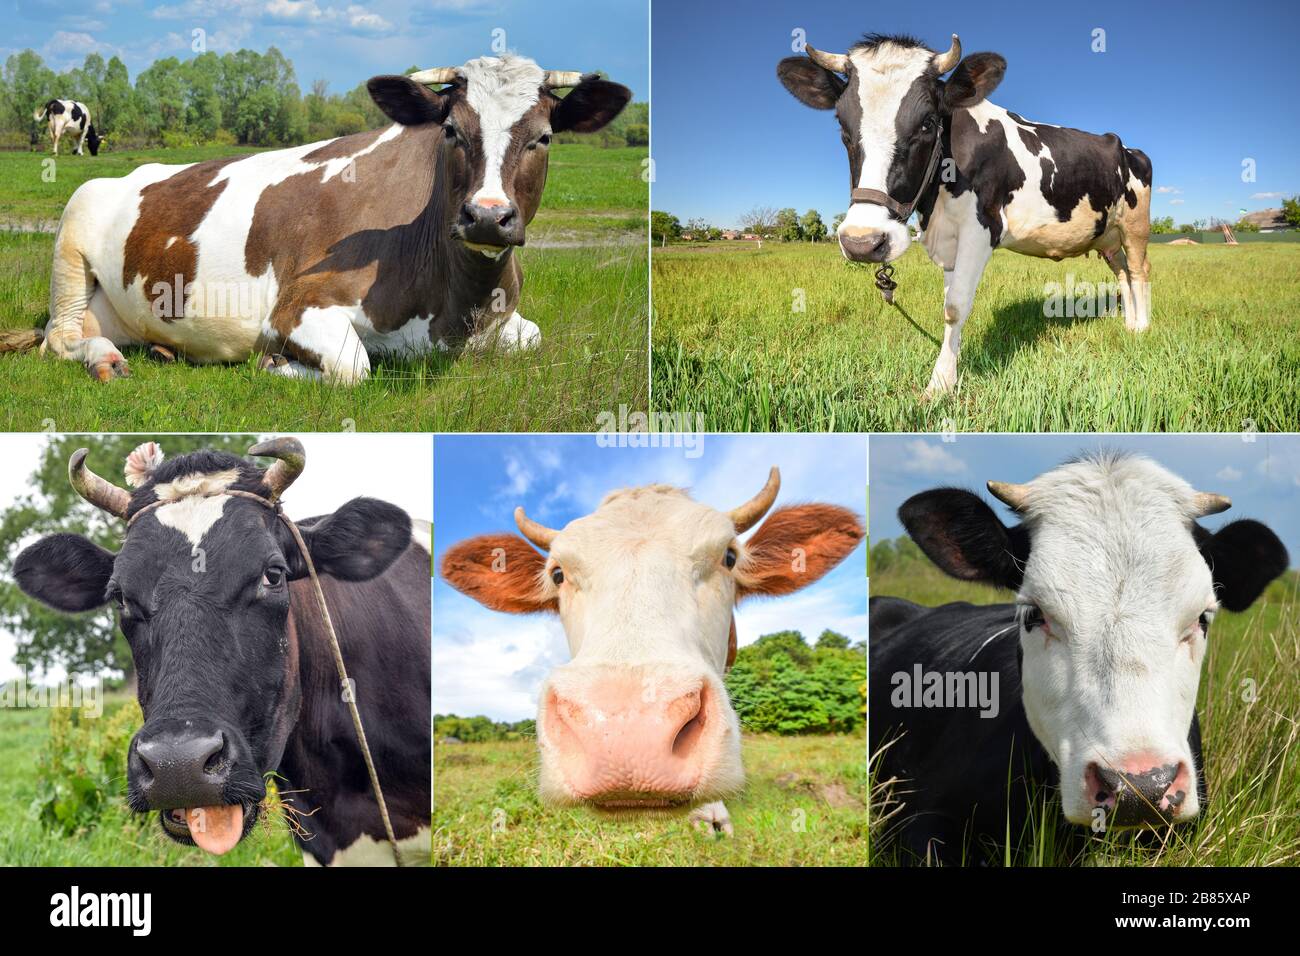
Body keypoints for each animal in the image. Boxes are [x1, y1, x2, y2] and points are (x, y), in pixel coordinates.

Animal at [40, 54, 631, 383]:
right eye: (450, 130)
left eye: (544, 137)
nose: (487, 217)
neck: (455, 309)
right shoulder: (297, 305)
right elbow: (355, 368)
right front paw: (277, 365)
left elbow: (534, 339)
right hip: (72, 233)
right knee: (59, 337)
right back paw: (105, 361)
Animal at [778, 34, 1153, 396]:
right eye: (842, 125)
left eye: (928, 122)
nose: (863, 242)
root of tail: (1124, 145)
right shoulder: (948, 240)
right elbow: (948, 303)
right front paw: (951, 372)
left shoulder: (981, 228)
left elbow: (956, 305)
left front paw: (940, 384)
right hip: (1107, 235)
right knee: (1121, 271)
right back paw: (1129, 324)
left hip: (1136, 224)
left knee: (1139, 269)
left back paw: (1143, 328)